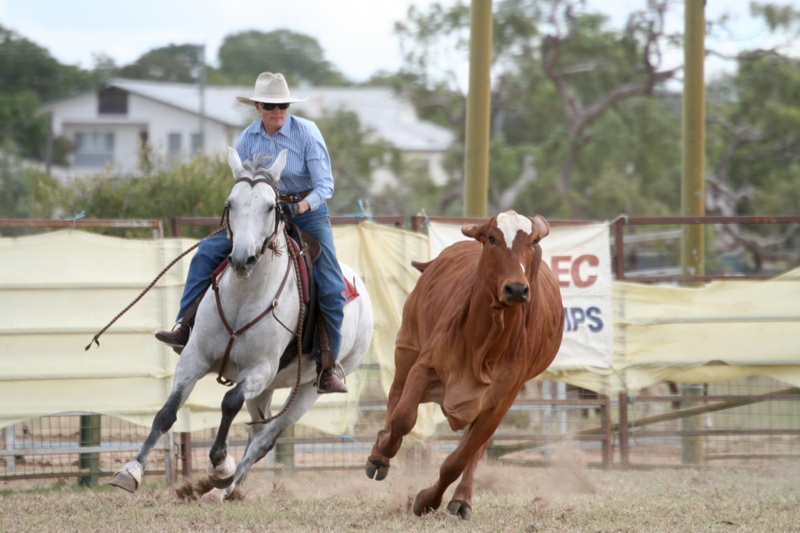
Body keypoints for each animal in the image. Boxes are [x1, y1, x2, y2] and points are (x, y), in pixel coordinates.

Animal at [109, 147, 374, 503]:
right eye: (231, 203)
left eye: (270, 206)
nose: (242, 259)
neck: (244, 300)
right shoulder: (194, 357)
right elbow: (166, 413)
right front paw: (131, 470)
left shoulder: (259, 369)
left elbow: (229, 402)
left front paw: (220, 464)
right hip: (268, 387)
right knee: (258, 430)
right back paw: (223, 488)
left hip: (307, 389)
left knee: (265, 439)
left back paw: (224, 486)